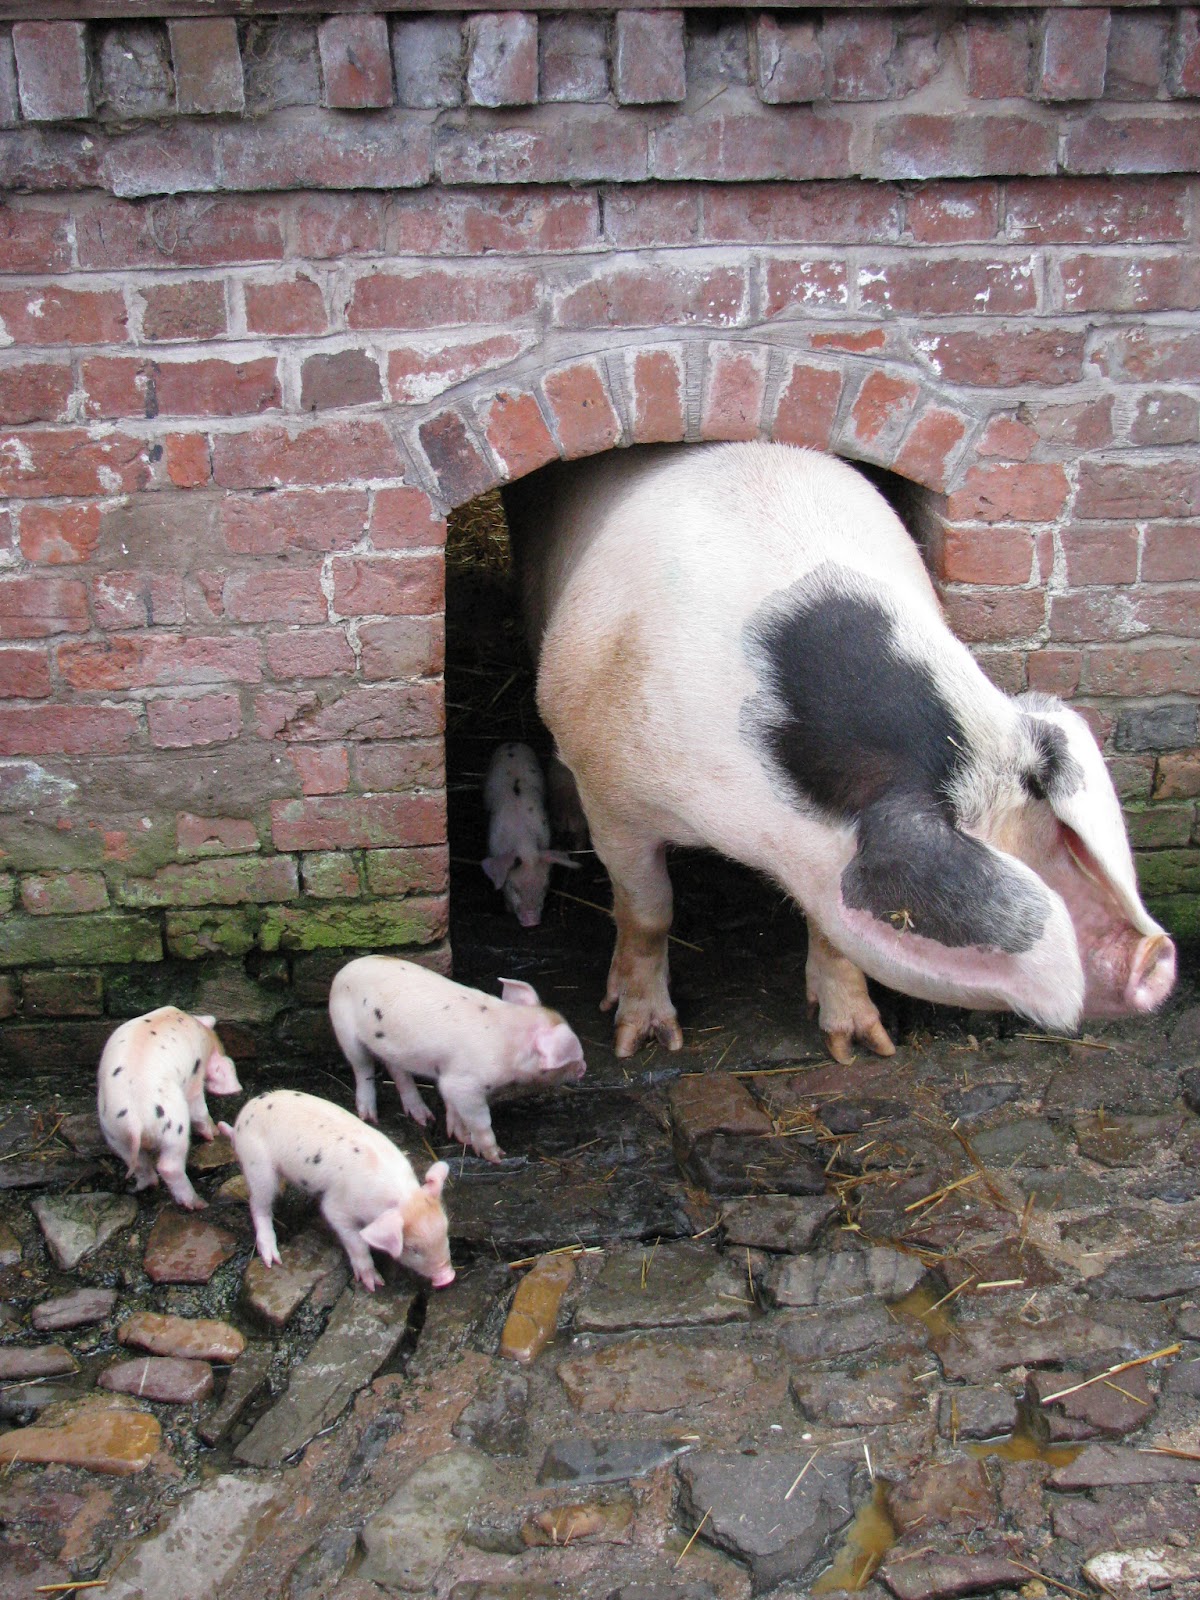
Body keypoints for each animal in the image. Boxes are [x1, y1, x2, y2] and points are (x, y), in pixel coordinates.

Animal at [96, 1006, 241, 1210]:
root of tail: (135, 1119)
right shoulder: (194, 1080)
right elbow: (199, 1110)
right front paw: (214, 1134)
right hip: (173, 1126)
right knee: (169, 1166)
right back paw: (198, 1204)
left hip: (114, 1131)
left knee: (138, 1161)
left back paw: (146, 1186)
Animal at [220, 1090, 454, 1292]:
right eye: (413, 1249)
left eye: (445, 1232)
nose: (448, 1277)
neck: (401, 1197)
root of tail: (240, 1121)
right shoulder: (337, 1207)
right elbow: (355, 1240)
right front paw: (374, 1284)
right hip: (258, 1166)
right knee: (258, 1206)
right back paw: (272, 1259)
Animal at [328, 955, 587, 1162]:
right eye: (574, 1056)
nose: (584, 1068)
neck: (508, 1042)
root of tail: (346, 968)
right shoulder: (465, 1084)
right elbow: (481, 1121)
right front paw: (496, 1156)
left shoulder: (449, 1076)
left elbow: (452, 1106)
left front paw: (459, 1136)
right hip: (345, 1030)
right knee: (363, 1069)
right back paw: (369, 1116)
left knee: (397, 1071)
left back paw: (424, 1119)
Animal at [506, 442, 1176, 1064]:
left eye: (1049, 829)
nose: (1155, 954)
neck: (751, 826)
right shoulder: (614, 798)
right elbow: (647, 913)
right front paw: (643, 1041)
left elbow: (831, 934)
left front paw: (859, 1048)